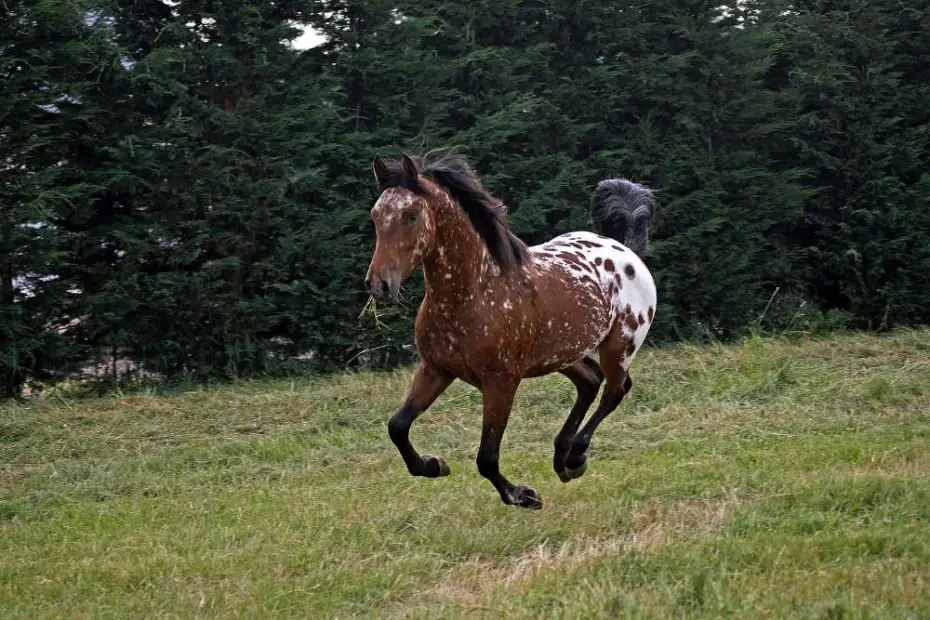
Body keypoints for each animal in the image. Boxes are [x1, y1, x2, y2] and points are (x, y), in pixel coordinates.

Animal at [364, 149, 657, 509]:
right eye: (376, 215)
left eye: (412, 215)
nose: (379, 285)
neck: (475, 293)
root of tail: (624, 249)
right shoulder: (436, 369)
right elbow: (397, 426)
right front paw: (434, 465)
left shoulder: (500, 382)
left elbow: (486, 457)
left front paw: (524, 496)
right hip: (561, 354)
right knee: (591, 381)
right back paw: (562, 459)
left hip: (619, 347)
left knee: (615, 390)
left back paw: (575, 458)